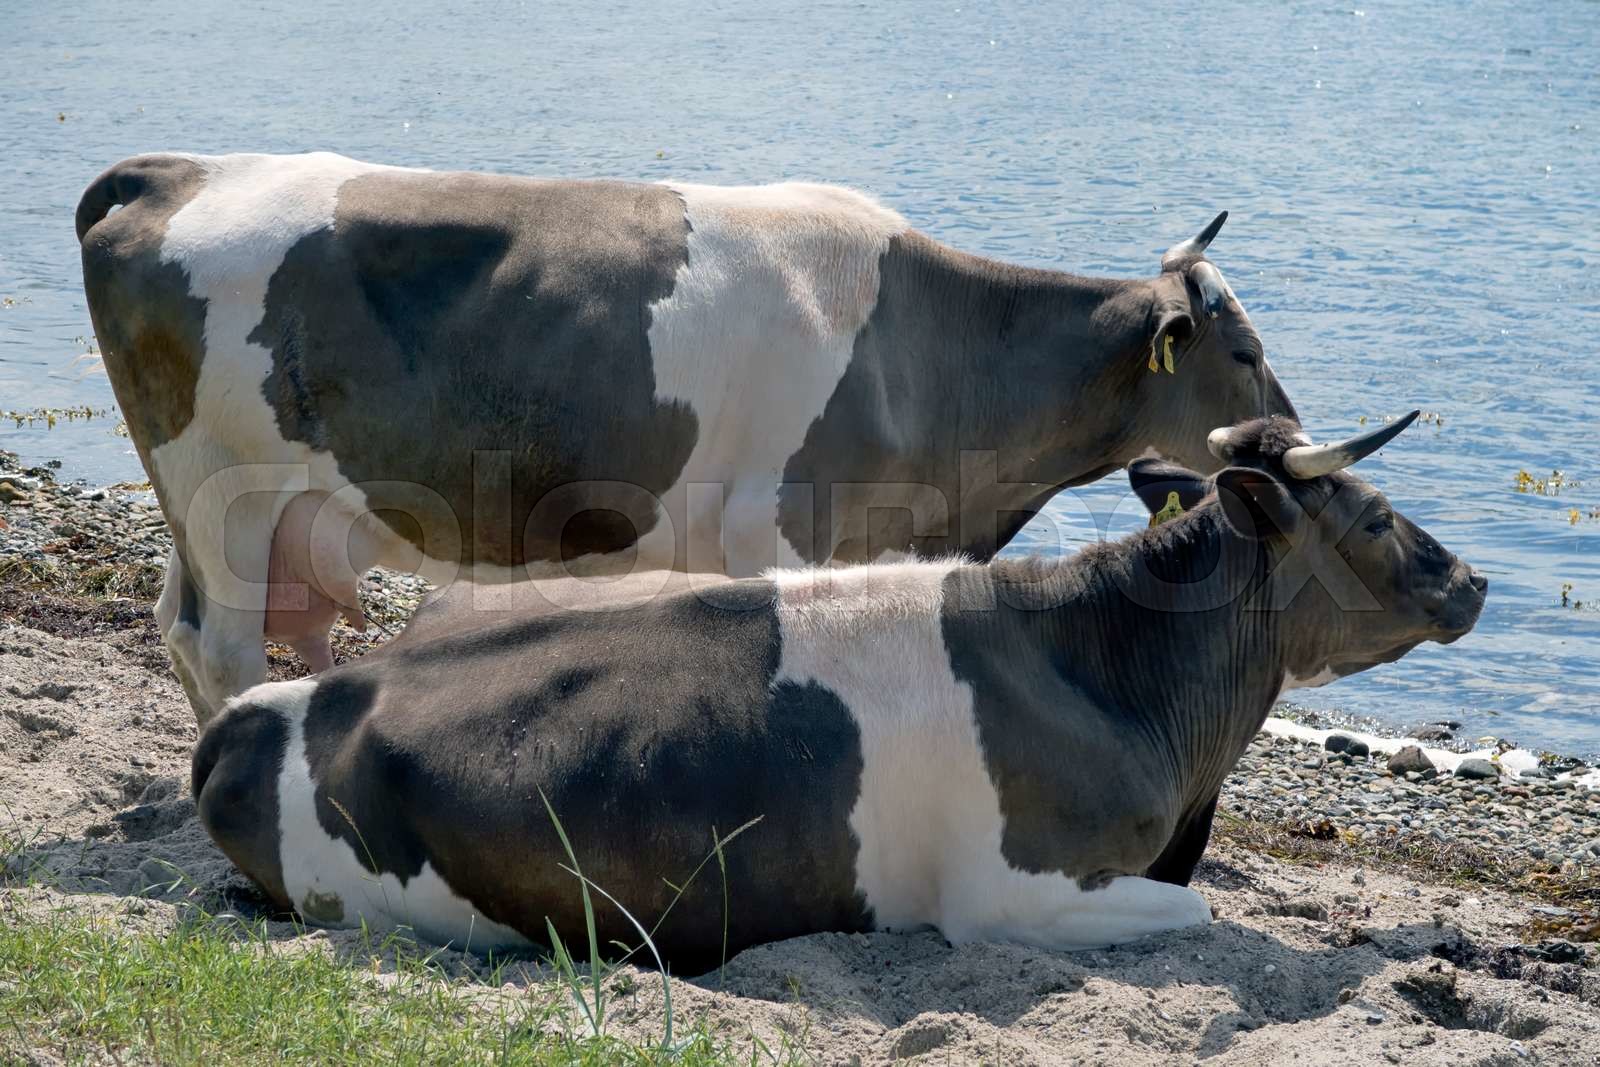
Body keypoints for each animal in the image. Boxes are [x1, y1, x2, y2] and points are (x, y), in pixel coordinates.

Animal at [77, 152, 1295, 722]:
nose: (1283, 434)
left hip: (223, 512)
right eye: (1244, 352)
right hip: (226, 491)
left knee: (180, 626)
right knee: (220, 644)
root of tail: (176, 169)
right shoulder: (782, 524)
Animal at [191, 412, 1485, 970]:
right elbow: (1202, 912)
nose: (1472, 579)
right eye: (1376, 516)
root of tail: (262, 713)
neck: (1108, 666)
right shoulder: (1007, 896)